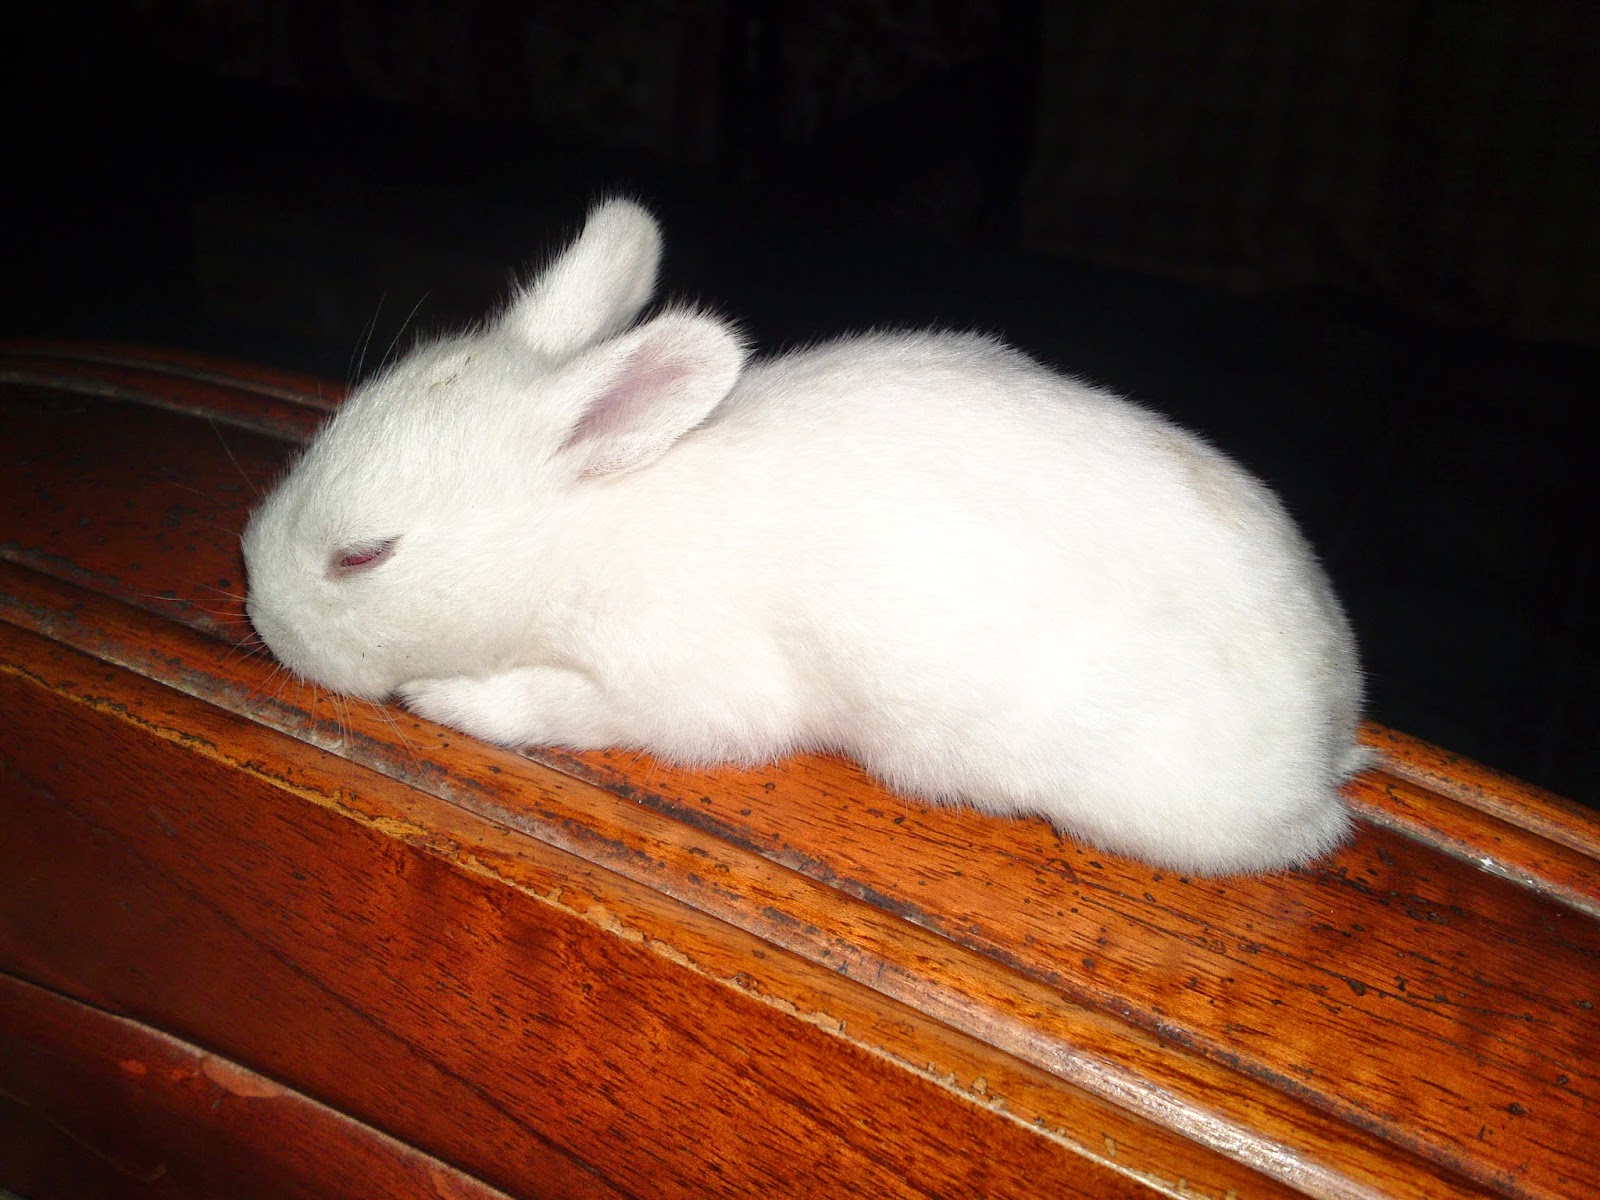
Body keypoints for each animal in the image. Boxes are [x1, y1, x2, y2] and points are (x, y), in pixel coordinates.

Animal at [242, 197, 1370, 875]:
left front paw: (445, 700)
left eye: (362, 556)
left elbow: (553, 707)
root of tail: (1332, 730)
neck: (591, 522)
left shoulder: (682, 688)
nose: (258, 608)